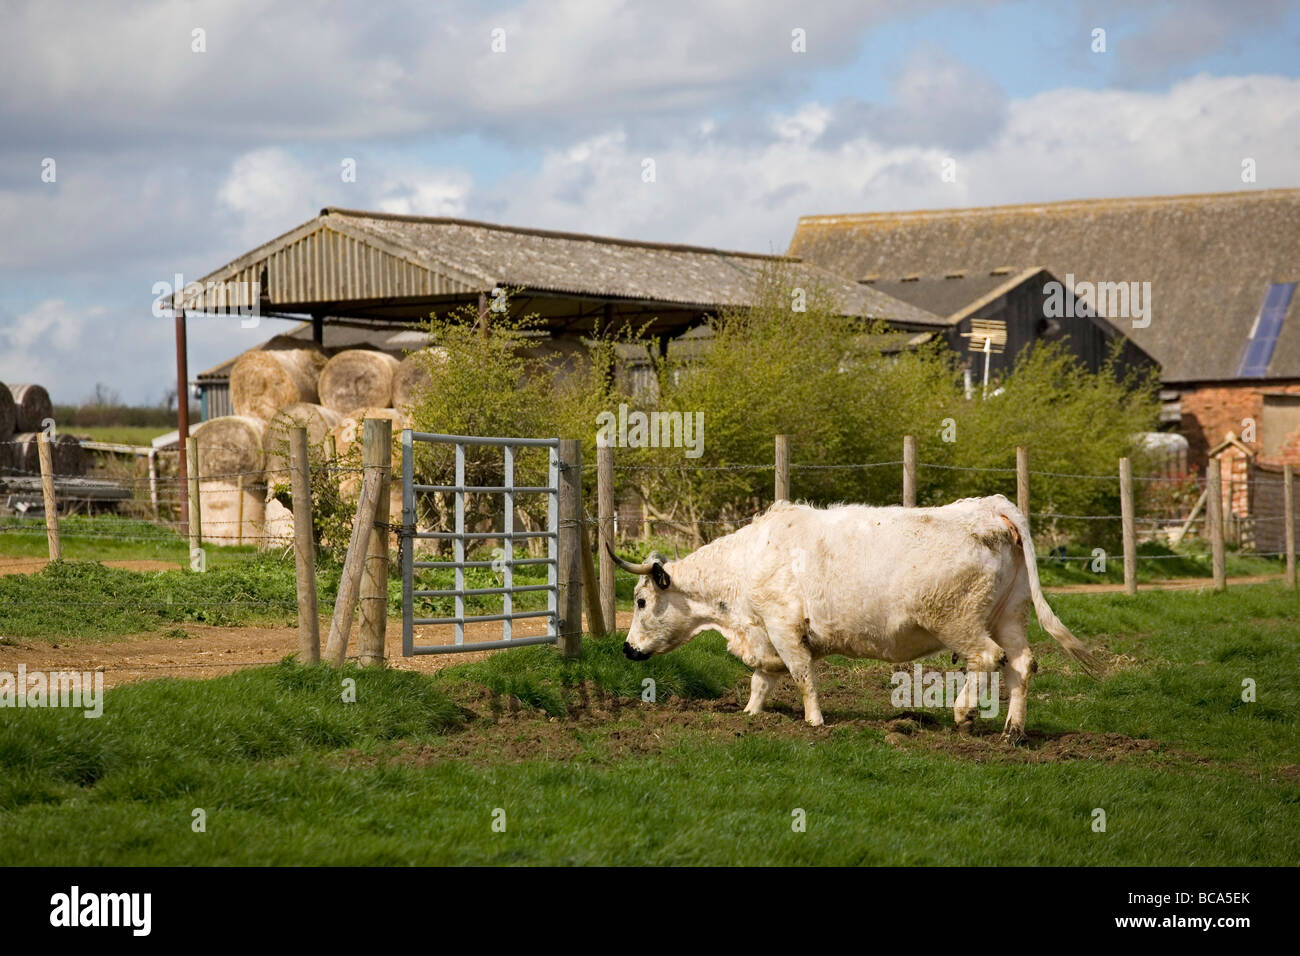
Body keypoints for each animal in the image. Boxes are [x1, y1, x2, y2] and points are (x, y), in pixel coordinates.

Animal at [609, 495, 1101, 741]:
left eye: (640, 601)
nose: (626, 649)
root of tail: (990, 506)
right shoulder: (767, 635)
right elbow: (761, 679)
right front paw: (750, 715)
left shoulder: (783, 628)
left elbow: (802, 676)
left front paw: (814, 723)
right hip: (1010, 615)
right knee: (1021, 663)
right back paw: (1012, 731)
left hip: (959, 621)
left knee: (988, 658)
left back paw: (964, 715)